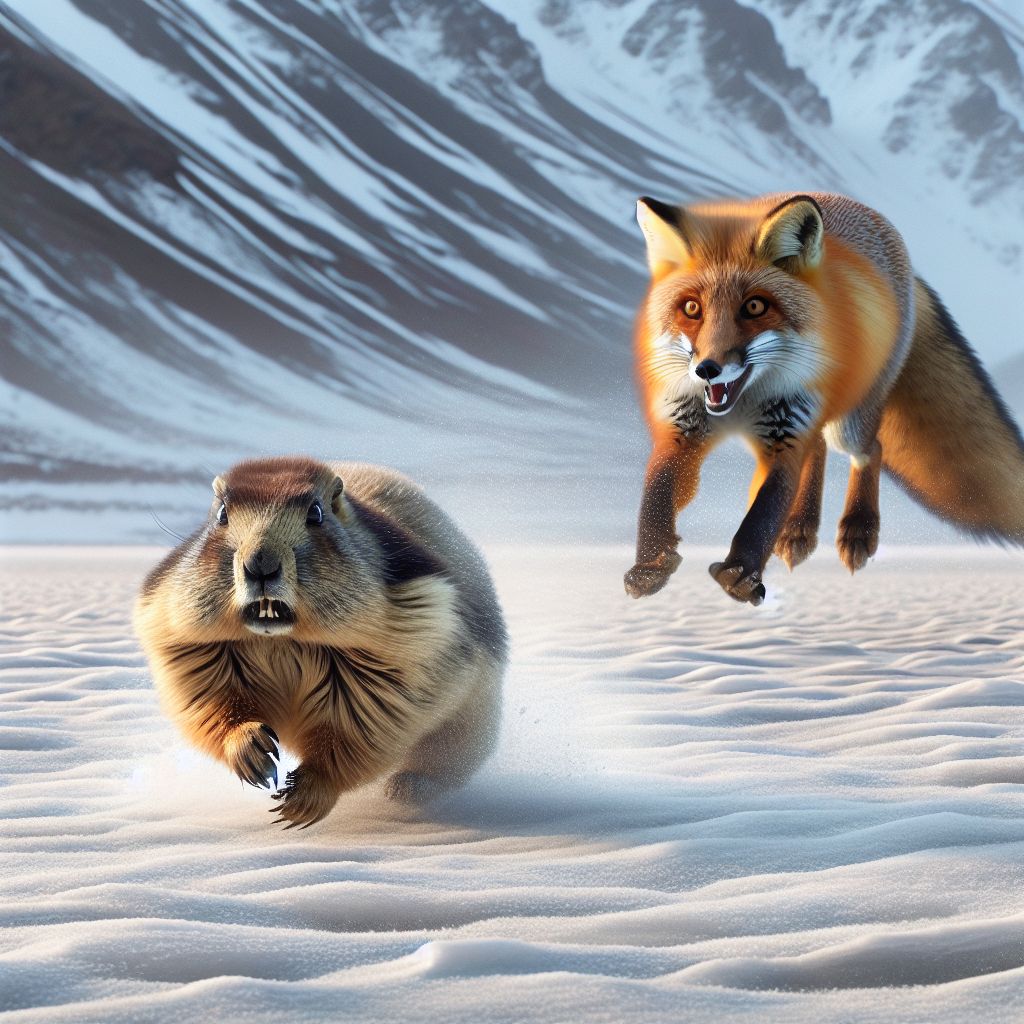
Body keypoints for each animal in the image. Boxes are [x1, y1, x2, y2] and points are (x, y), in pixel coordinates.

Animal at [623, 191, 1024, 606]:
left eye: (754, 306)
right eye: (691, 308)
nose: (707, 369)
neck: (746, 401)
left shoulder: (785, 432)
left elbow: (764, 511)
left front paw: (741, 574)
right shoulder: (682, 428)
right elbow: (655, 497)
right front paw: (649, 566)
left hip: (849, 424)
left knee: (869, 449)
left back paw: (858, 528)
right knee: (816, 447)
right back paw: (799, 529)